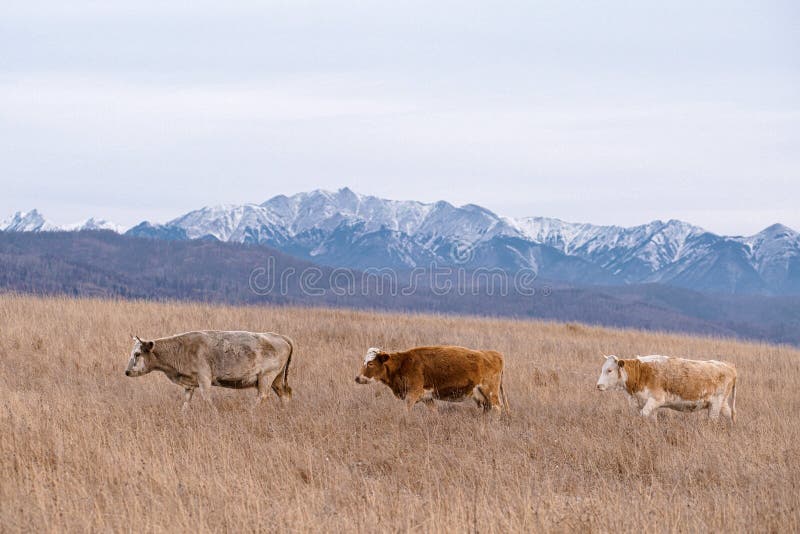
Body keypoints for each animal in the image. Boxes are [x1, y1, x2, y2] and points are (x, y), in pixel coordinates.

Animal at [125, 330, 293, 410]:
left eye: (137, 354)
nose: (126, 372)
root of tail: (280, 336)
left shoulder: (204, 378)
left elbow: (207, 399)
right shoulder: (189, 384)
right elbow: (186, 403)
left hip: (266, 377)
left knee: (262, 396)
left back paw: (250, 411)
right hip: (277, 379)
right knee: (284, 395)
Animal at [355, 345, 509, 413]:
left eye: (371, 363)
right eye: (363, 361)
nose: (357, 378)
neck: (403, 363)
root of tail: (495, 354)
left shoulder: (412, 393)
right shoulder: (427, 398)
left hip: (490, 392)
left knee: (497, 408)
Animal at [595, 355, 737, 423]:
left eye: (609, 370)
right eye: (602, 369)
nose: (598, 385)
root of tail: (729, 367)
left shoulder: (655, 400)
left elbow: (643, 415)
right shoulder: (648, 403)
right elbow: (652, 419)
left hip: (715, 405)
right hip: (722, 404)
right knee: (730, 416)